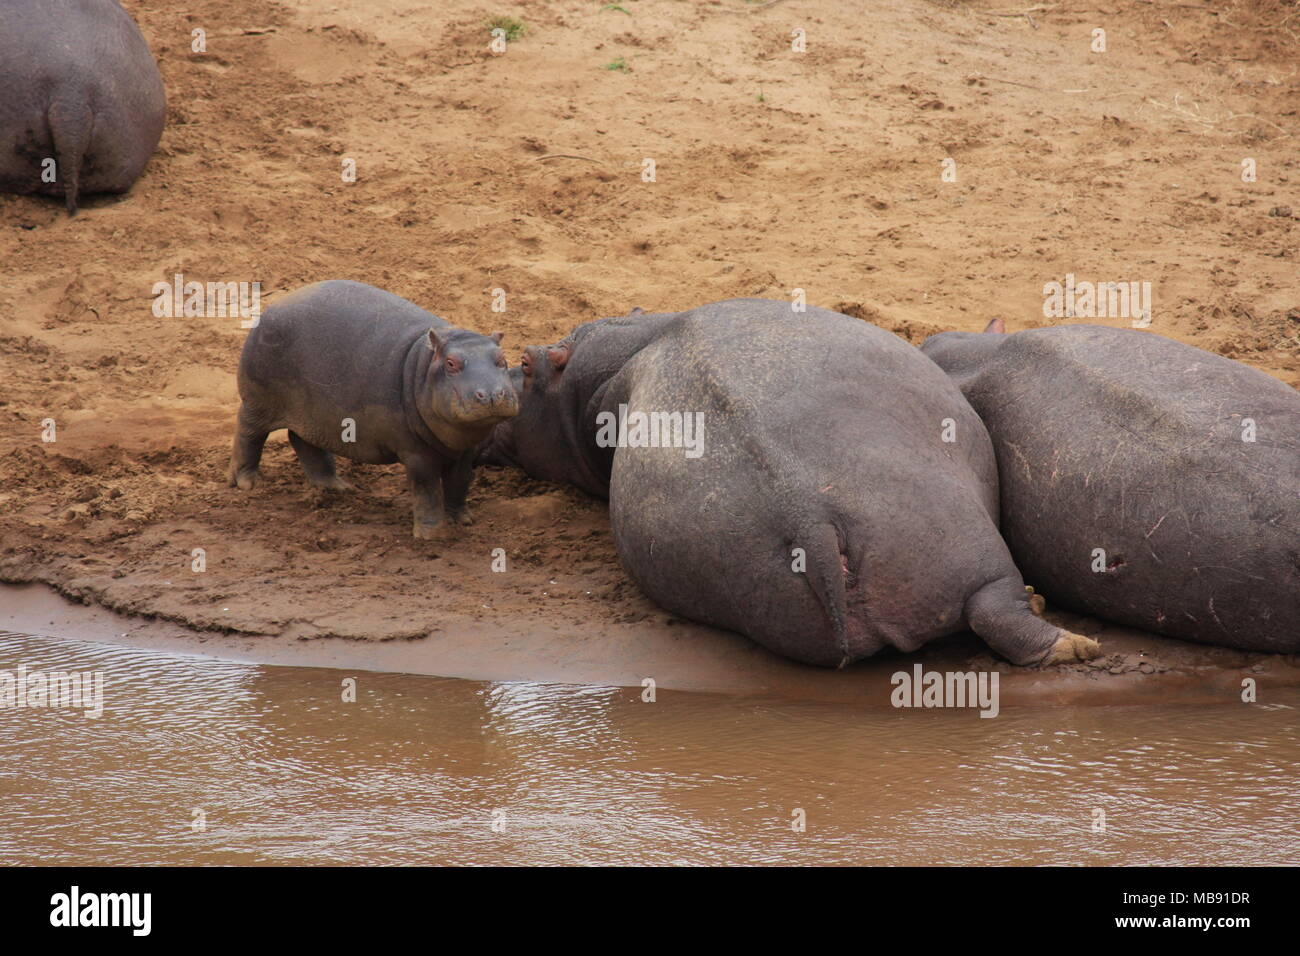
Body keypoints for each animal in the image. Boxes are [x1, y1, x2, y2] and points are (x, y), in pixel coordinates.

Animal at [229, 280, 519, 538]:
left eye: (502, 359)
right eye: (450, 363)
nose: (492, 394)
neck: (424, 365)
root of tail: (275, 305)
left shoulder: (466, 450)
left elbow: (460, 482)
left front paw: (463, 520)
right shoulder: (416, 452)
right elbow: (427, 489)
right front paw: (432, 535)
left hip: (311, 411)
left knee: (303, 441)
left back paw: (337, 488)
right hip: (258, 401)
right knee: (248, 434)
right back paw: (248, 483)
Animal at [483, 298, 1102, 668]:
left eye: (526, 363)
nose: (501, 376)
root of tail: (808, 515)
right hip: (967, 548)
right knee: (1001, 609)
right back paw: (1071, 642)